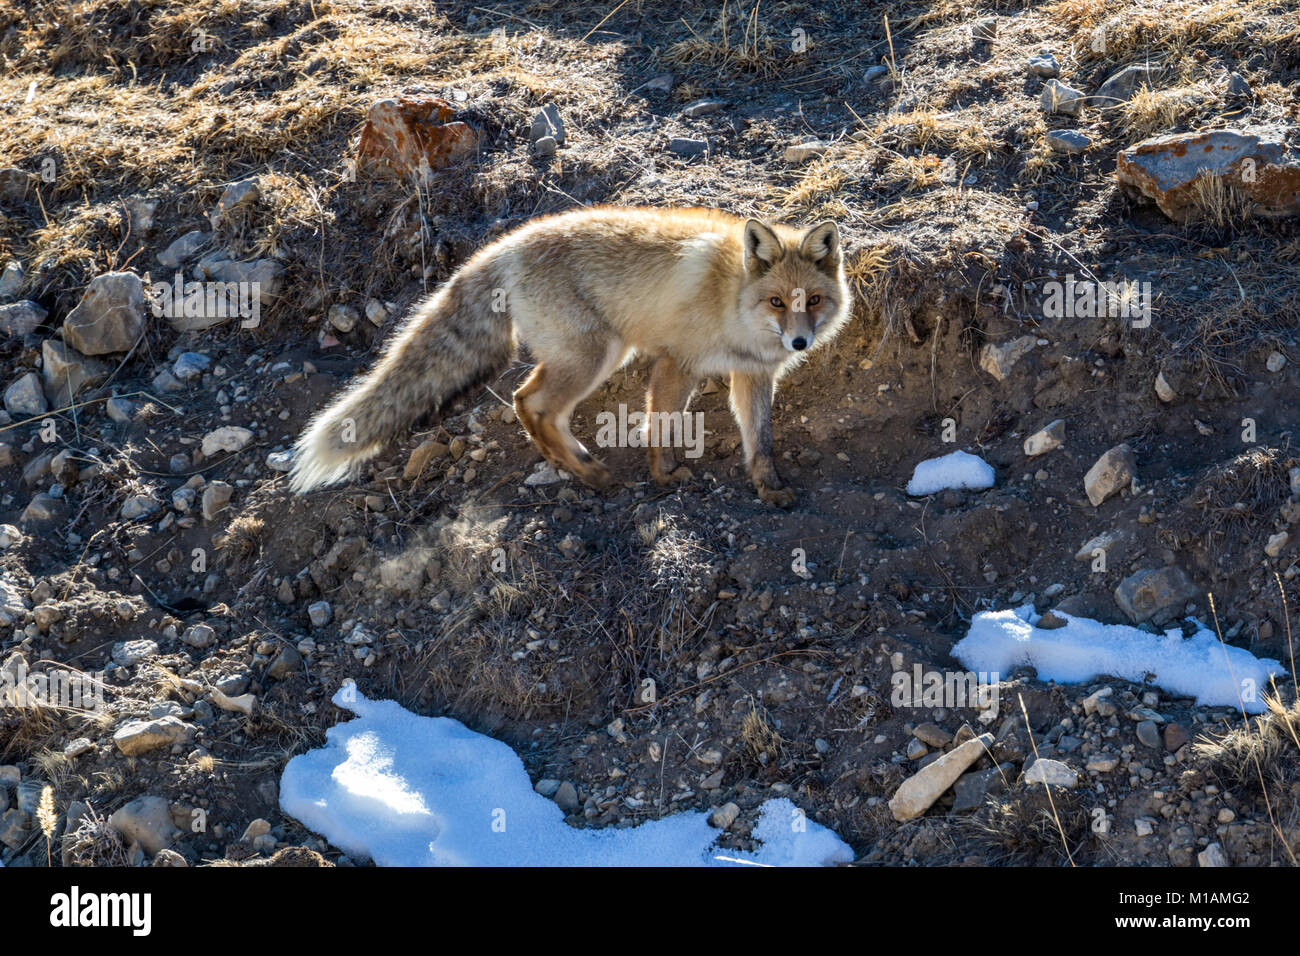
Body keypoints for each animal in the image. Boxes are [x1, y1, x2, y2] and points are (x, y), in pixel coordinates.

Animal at [289, 206, 851, 505]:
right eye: (776, 302)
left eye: (812, 301)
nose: (799, 343)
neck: (732, 301)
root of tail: (505, 246)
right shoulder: (676, 362)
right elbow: (662, 424)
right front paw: (664, 475)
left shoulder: (753, 375)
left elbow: (761, 440)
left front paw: (769, 487)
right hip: (597, 355)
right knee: (529, 402)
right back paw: (588, 472)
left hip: (593, 356)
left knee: (532, 405)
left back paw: (574, 463)